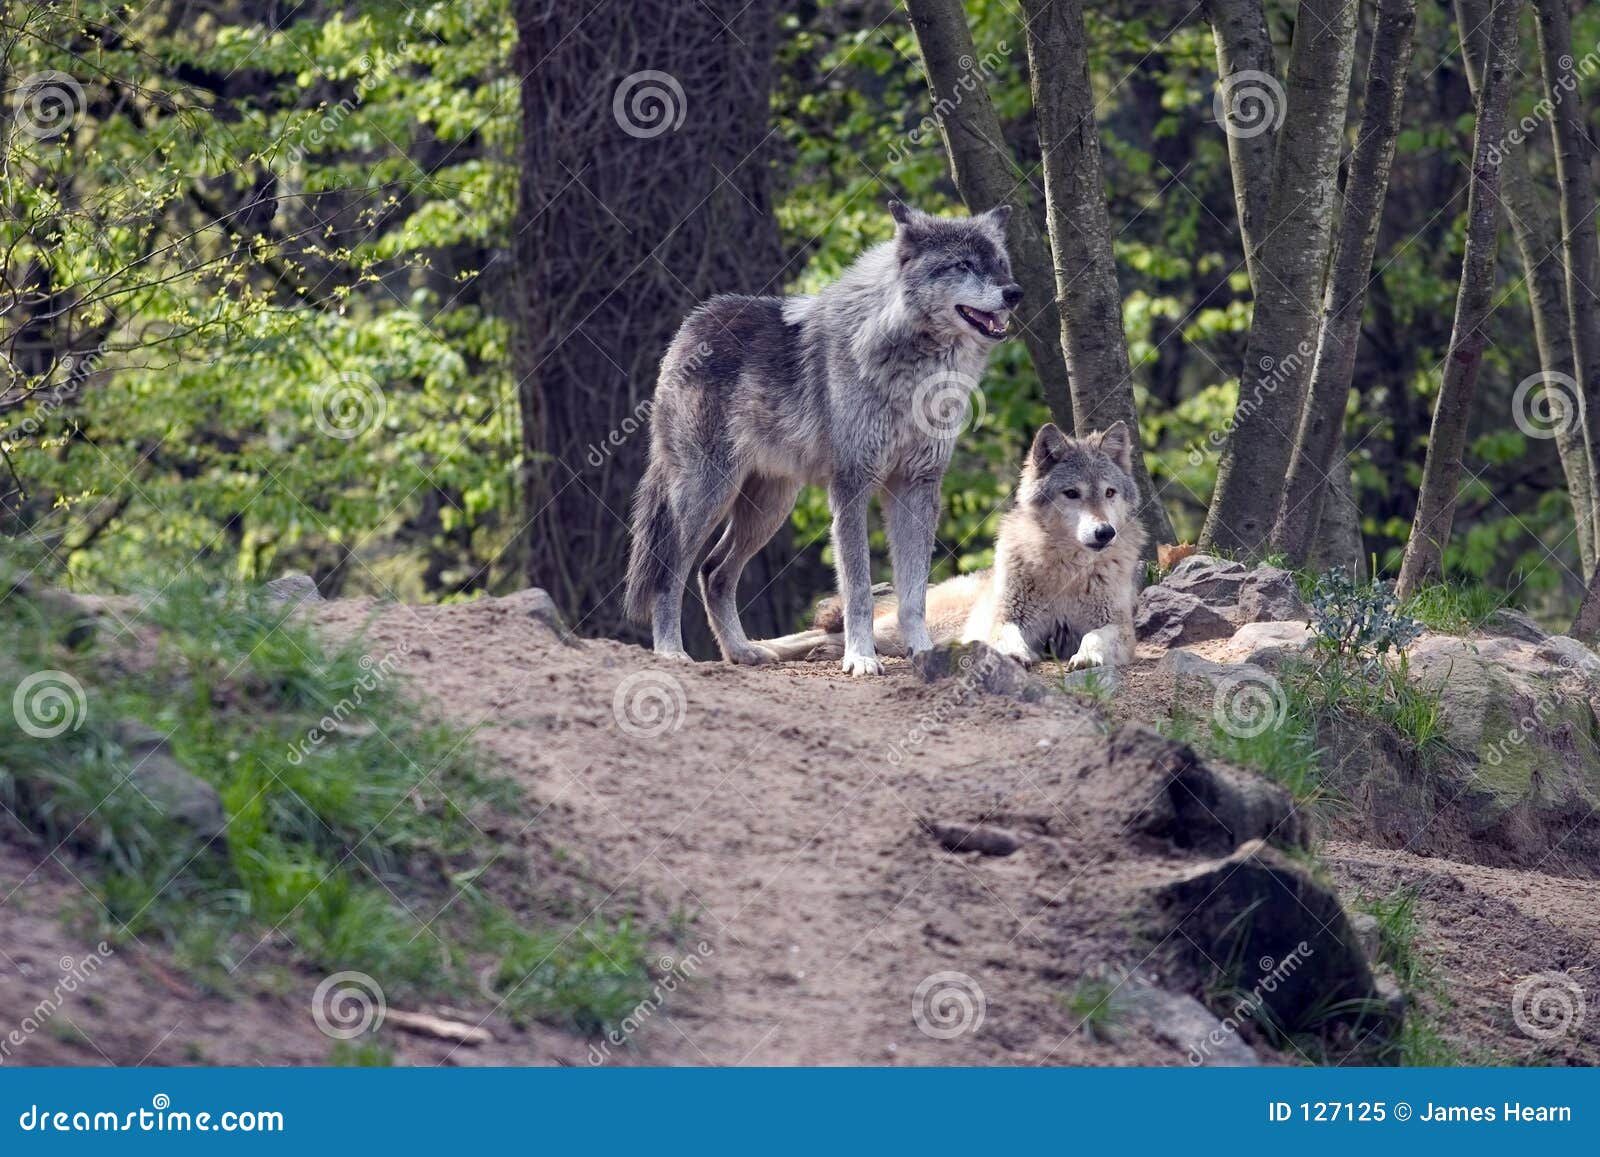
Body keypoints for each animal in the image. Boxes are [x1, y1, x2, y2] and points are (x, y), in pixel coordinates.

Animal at [624, 200, 1022, 676]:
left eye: (1000, 264)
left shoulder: (917, 485)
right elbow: (858, 589)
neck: (916, 371)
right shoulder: (851, 484)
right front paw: (861, 658)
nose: (1015, 293)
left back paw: (742, 651)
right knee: (669, 570)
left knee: (713, 572)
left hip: (769, 507)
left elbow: (914, 596)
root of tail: (691, 325)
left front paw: (924, 652)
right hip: (707, 493)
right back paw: (671, 652)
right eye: (963, 265)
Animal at [757, 422, 1145, 671]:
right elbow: (1006, 633)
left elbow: (1094, 637)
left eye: (1109, 492)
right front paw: (1015, 654)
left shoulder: (1119, 628)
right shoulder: (1005, 617)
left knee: (833, 638)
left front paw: (1087, 656)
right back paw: (764, 649)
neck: (1067, 571)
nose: (1104, 532)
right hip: (916, 626)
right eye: (1072, 493)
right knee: (826, 632)